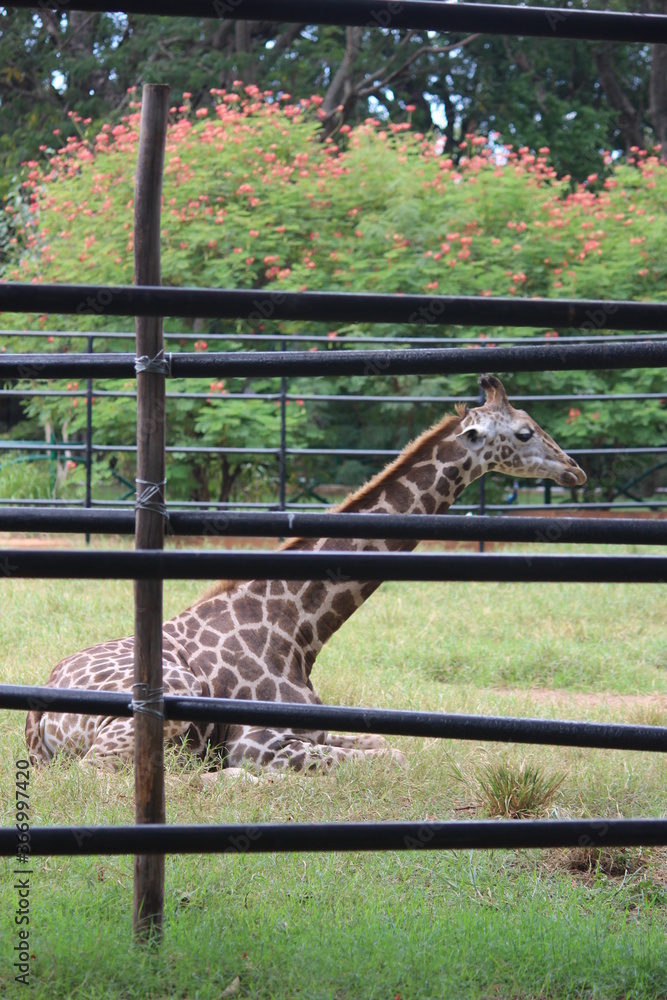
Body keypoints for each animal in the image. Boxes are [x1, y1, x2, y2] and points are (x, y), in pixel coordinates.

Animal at [25, 375, 586, 772]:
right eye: (524, 431)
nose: (575, 469)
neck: (294, 631)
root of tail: (34, 722)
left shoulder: (314, 729)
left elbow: (391, 749)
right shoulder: (259, 743)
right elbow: (384, 762)